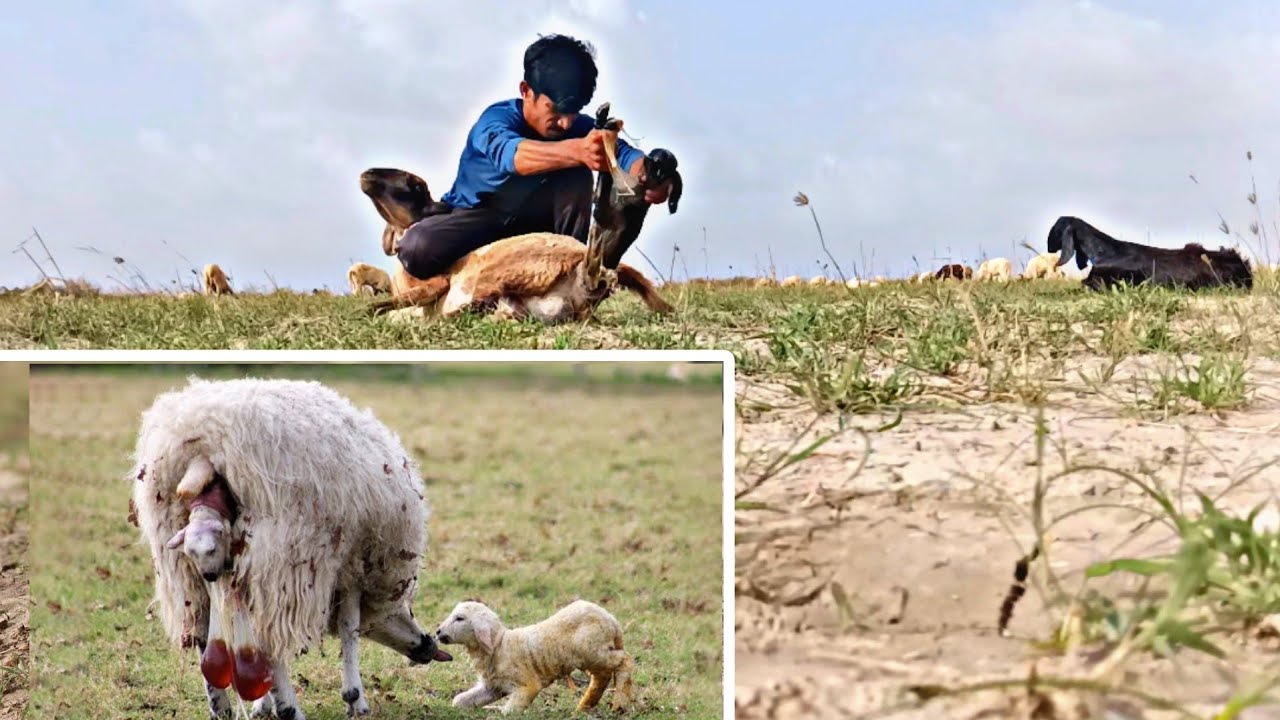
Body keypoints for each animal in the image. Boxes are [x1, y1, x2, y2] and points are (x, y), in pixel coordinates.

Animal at [130, 377, 452, 720]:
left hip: (189, 571)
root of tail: (205, 448)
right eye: (408, 610)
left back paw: (222, 707)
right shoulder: (350, 572)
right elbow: (350, 631)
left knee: (205, 635)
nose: (429, 646)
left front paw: (261, 706)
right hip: (280, 559)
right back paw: (289, 708)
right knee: (269, 647)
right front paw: (354, 698)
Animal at [435, 599, 635, 715]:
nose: (437, 632)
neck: (500, 646)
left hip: (592, 650)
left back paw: (619, 703)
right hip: (592, 655)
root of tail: (612, 620)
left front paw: (497, 711)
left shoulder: (527, 685)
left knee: (625, 661)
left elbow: (510, 711)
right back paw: (586, 705)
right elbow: (460, 701)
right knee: (602, 676)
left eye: (460, 618)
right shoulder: (493, 686)